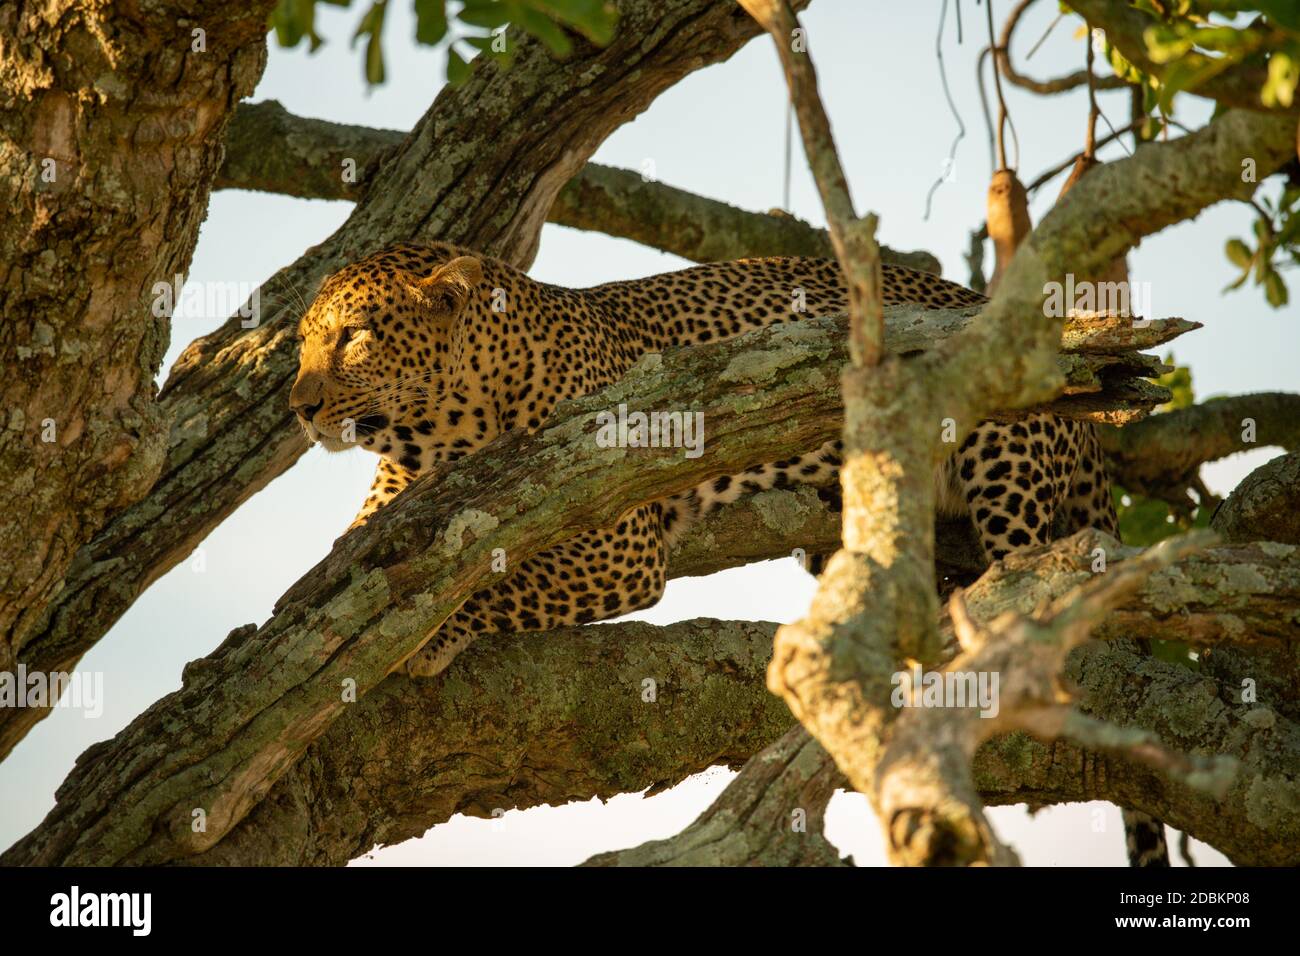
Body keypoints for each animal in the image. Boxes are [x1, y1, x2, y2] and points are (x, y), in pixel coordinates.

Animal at [289, 240, 1167, 867]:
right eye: (300, 346)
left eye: (355, 336)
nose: (298, 406)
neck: (443, 430)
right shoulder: (396, 501)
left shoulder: (619, 537)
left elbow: (506, 577)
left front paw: (432, 632)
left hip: (1004, 454)